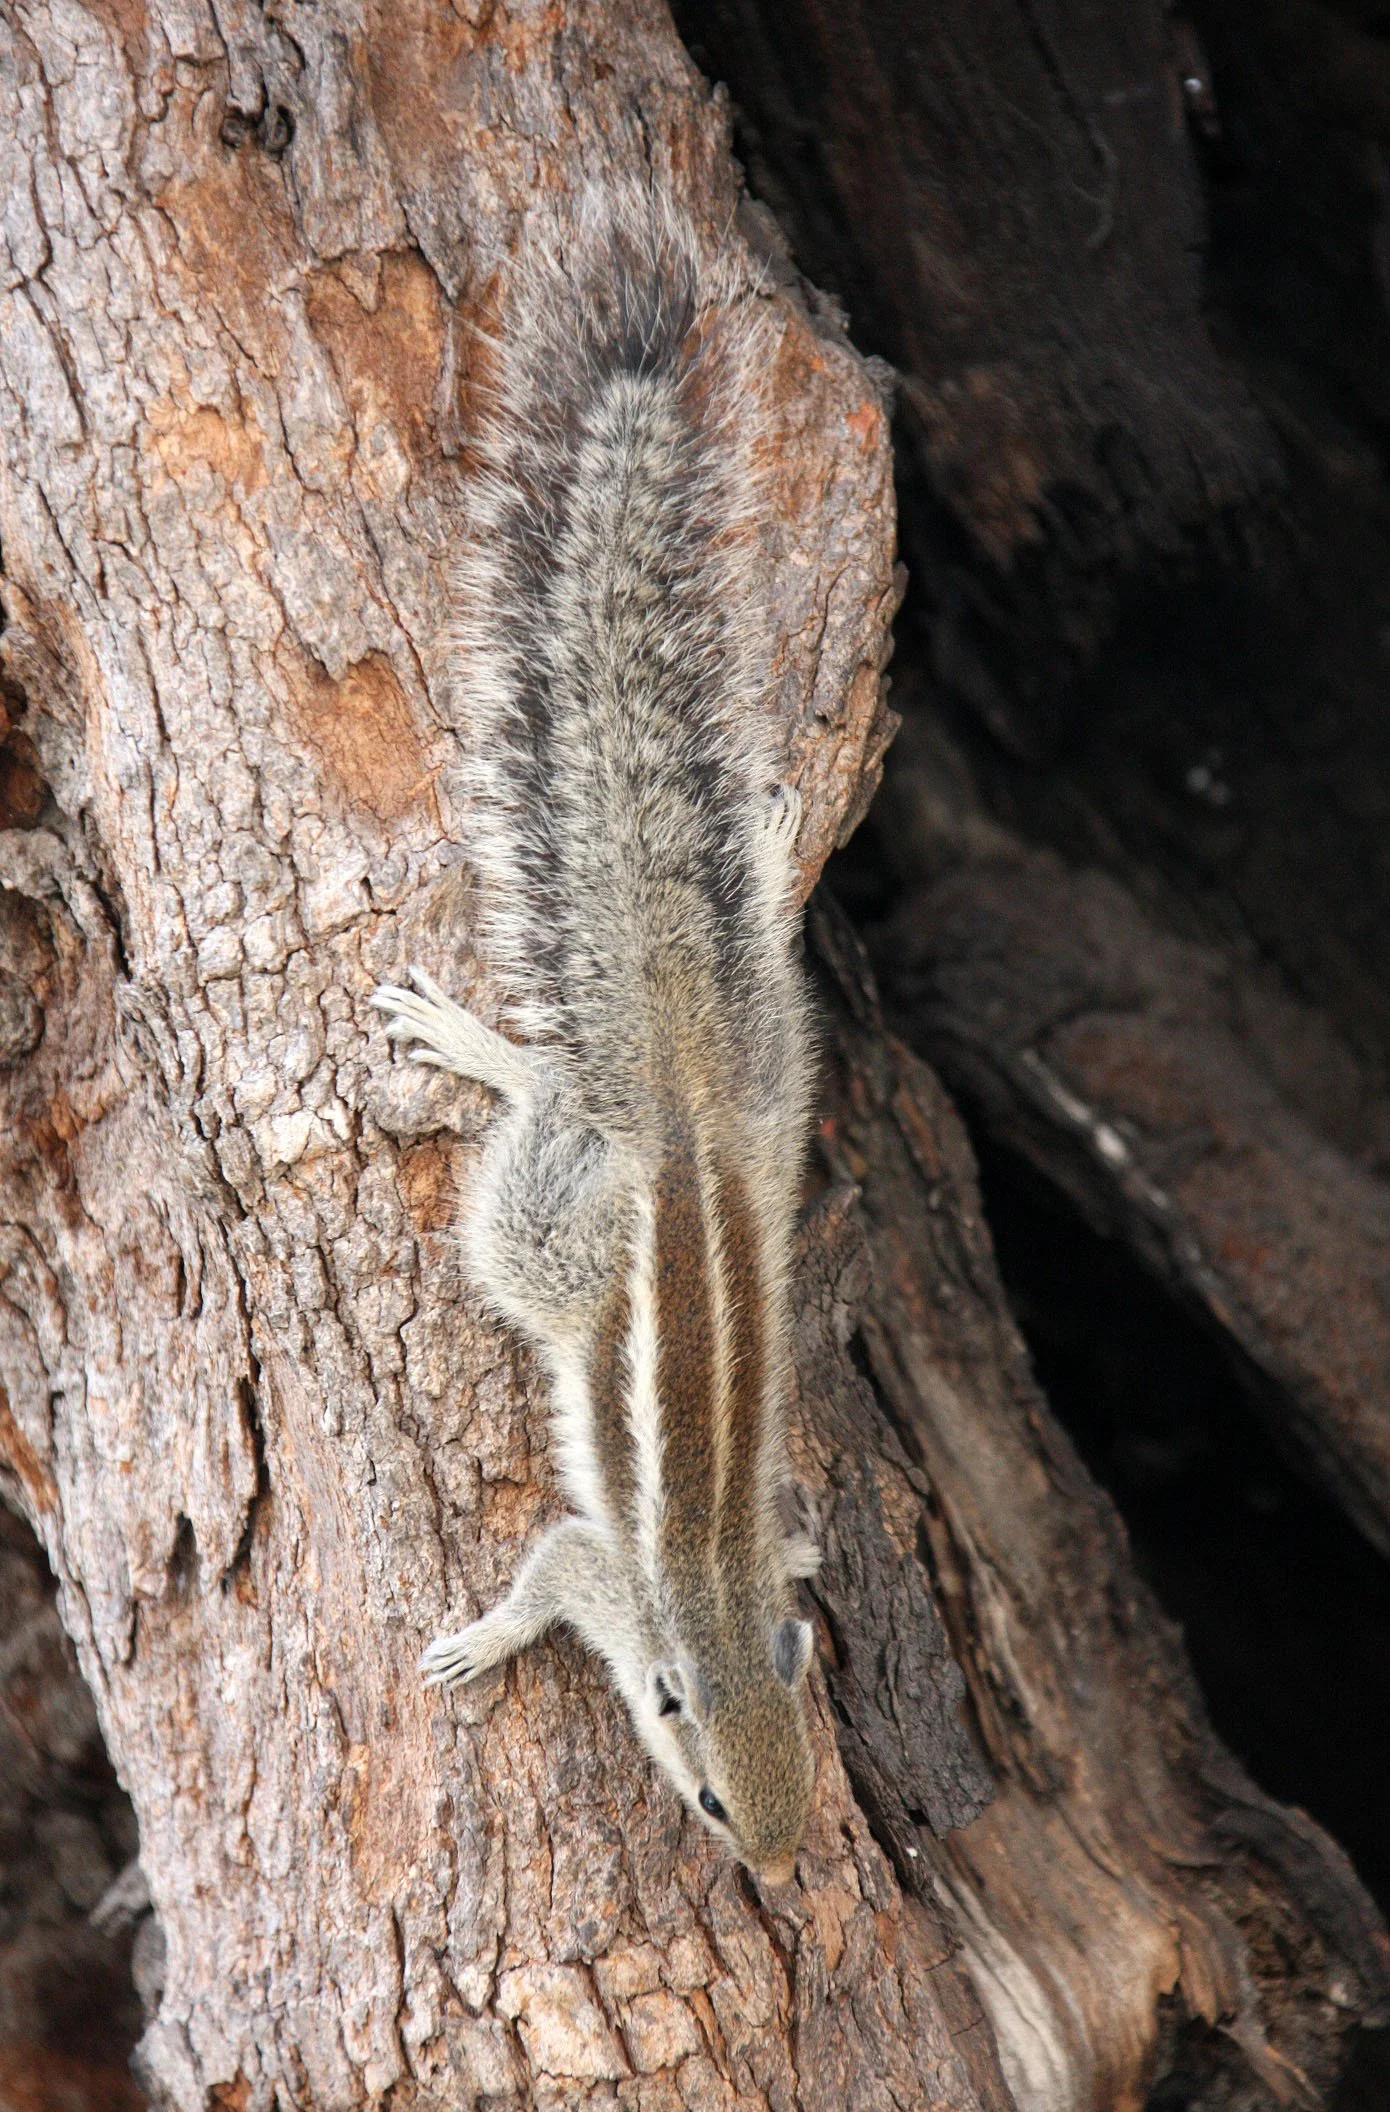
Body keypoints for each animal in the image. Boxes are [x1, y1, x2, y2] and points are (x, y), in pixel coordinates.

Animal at [372, 193, 819, 1884]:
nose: (780, 1870)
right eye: (708, 1799)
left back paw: (768, 845)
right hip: (549, 1235)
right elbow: (547, 1573)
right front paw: (486, 1643)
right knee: (537, 1113)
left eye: (807, 1770)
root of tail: (683, 1108)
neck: (706, 1599)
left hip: (776, 1068)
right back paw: (481, 1044)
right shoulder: (598, 1563)